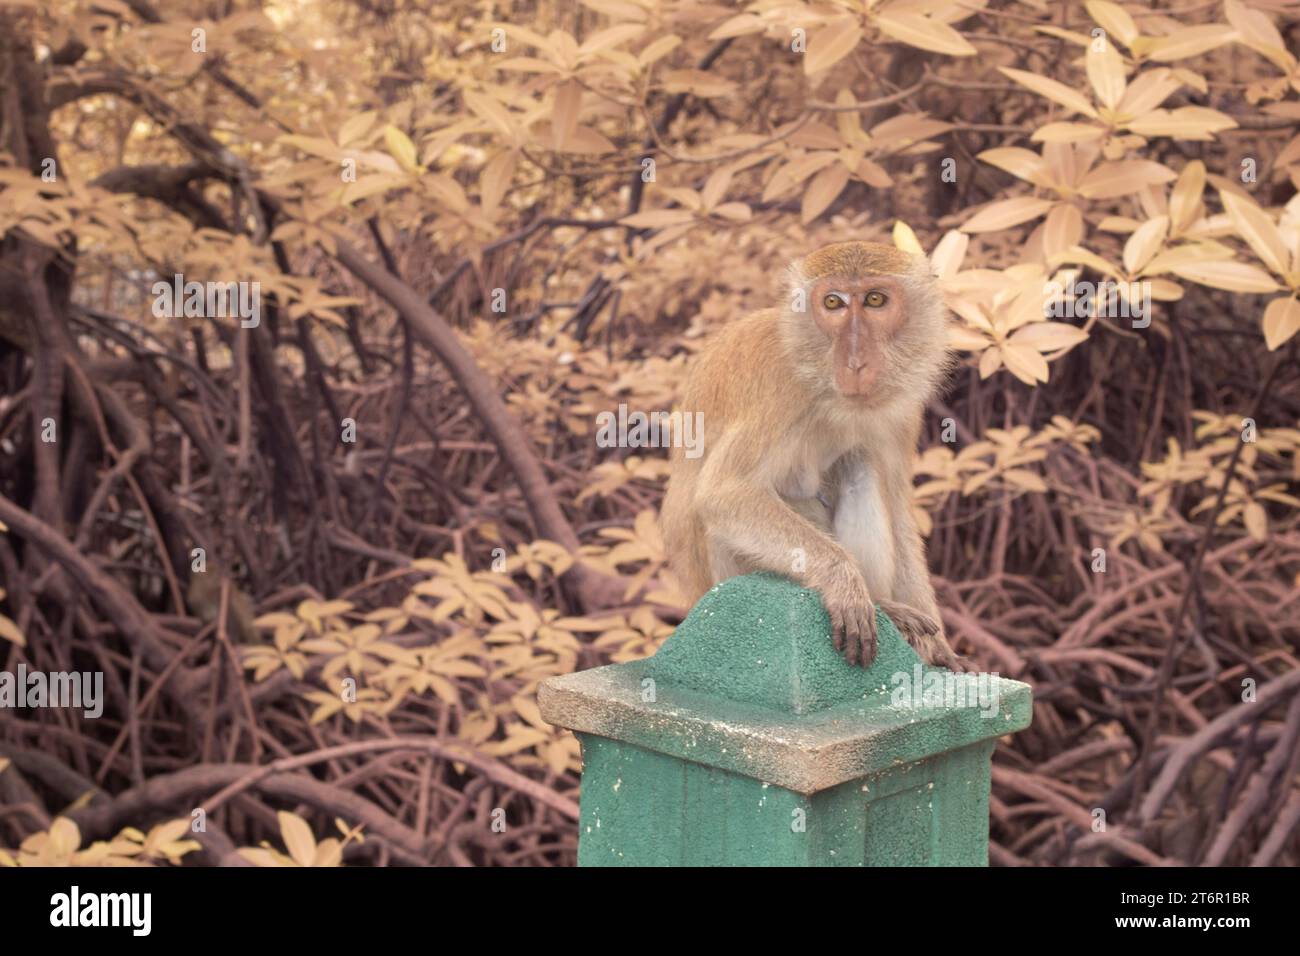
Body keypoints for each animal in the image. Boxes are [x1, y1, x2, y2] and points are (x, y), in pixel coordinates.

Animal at [660, 239, 969, 670]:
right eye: (833, 303)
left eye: (875, 299)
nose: (855, 361)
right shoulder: (781, 385)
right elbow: (724, 493)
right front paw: (843, 579)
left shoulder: (902, 411)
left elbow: (898, 510)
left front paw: (938, 647)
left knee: (859, 463)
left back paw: (884, 604)